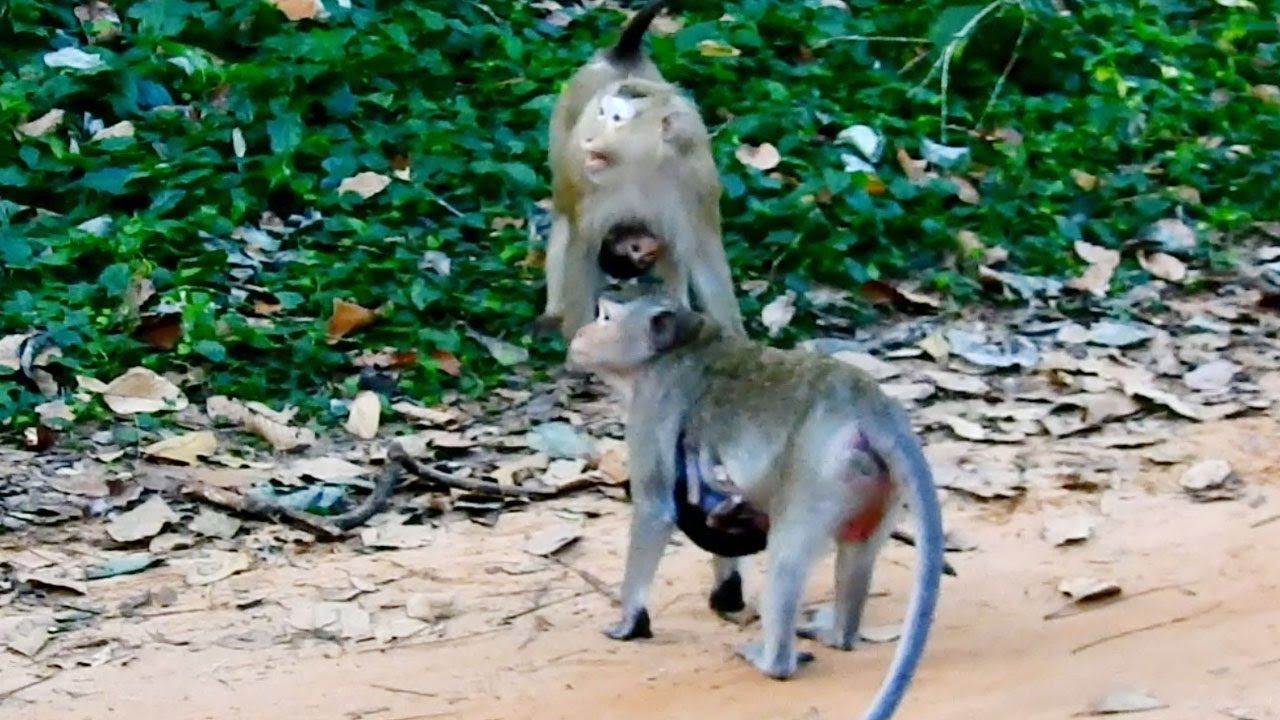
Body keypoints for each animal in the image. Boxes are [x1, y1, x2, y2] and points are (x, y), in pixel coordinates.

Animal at [539, 1, 747, 343]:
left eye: (616, 119)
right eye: (601, 113)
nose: (589, 138)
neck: (641, 164)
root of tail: (623, 56)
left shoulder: (696, 180)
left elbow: (703, 254)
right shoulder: (587, 183)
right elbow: (582, 249)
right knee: (564, 219)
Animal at [568, 293, 945, 720]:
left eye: (606, 317)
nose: (580, 332)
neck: (686, 343)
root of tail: (873, 409)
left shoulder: (654, 401)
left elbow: (655, 506)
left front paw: (630, 621)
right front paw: (726, 592)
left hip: (819, 475)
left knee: (786, 560)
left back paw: (773, 661)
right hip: (878, 486)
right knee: (857, 552)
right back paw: (837, 633)